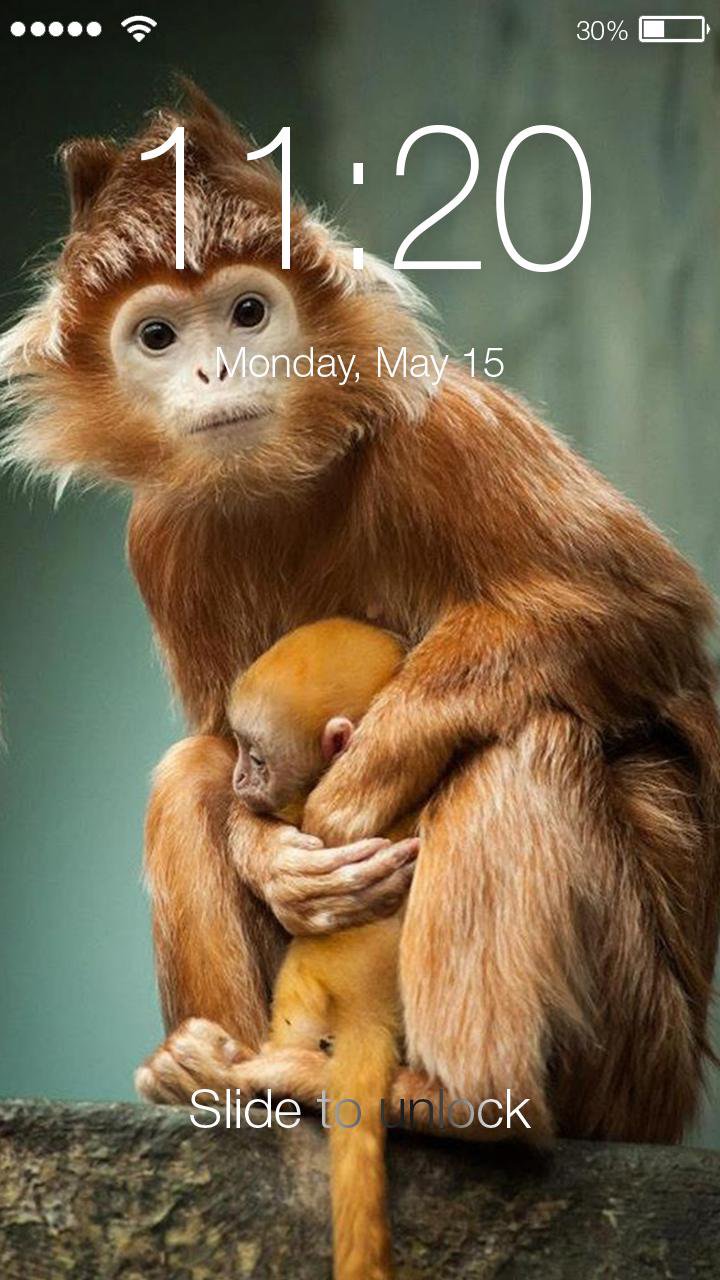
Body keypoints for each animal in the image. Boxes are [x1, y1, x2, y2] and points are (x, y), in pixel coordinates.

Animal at [2, 84, 719, 1152]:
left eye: (249, 312)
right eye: (158, 337)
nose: (217, 374)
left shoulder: (447, 426)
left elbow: (644, 604)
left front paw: (361, 780)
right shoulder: (160, 536)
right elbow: (225, 749)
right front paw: (274, 859)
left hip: (639, 1063)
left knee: (520, 735)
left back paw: (463, 1100)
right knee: (188, 774)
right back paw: (210, 1072)